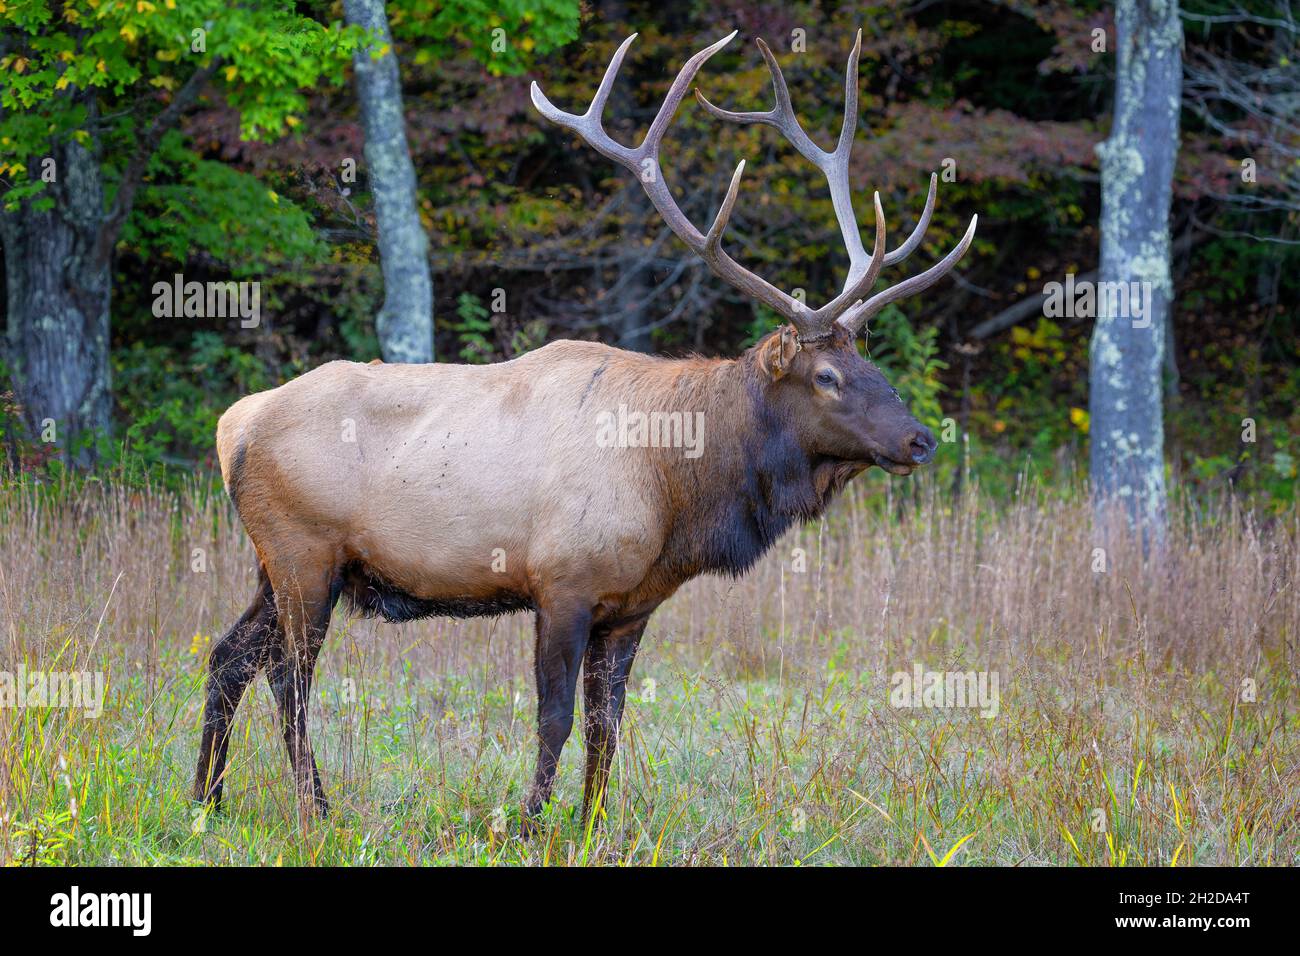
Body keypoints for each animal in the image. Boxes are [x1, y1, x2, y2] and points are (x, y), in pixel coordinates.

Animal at [193, 29, 977, 828]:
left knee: (228, 656)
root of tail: (233, 425)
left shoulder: (631, 607)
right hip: (304, 552)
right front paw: (528, 825)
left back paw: (208, 799)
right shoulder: (562, 581)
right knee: (289, 679)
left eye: (867, 363)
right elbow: (555, 717)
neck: (676, 491)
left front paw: (593, 823)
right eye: (826, 377)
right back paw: (315, 808)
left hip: (276, 562)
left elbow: (610, 723)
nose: (920, 438)